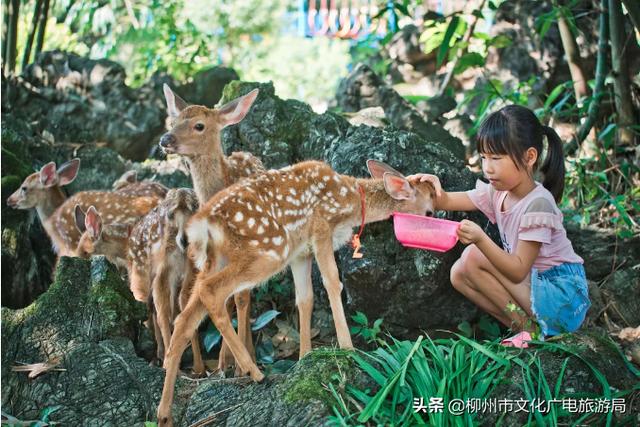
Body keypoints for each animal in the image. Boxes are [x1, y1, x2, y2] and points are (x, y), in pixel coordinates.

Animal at [156, 160, 436, 426]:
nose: (438, 212)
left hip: (216, 260)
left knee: (185, 317)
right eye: (430, 204)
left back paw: (165, 412)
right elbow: (332, 283)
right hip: (267, 250)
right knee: (212, 291)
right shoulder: (321, 228)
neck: (349, 201)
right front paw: (348, 349)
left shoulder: (300, 253)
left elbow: (305, 299)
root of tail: (202, 225)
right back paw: (253, 372)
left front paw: (304, 356)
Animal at [161, 84, 266, 373]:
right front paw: (226, 363)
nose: (165, 139)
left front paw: (240, 366)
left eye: (199, 125)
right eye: (173, 121)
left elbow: (240, 299)